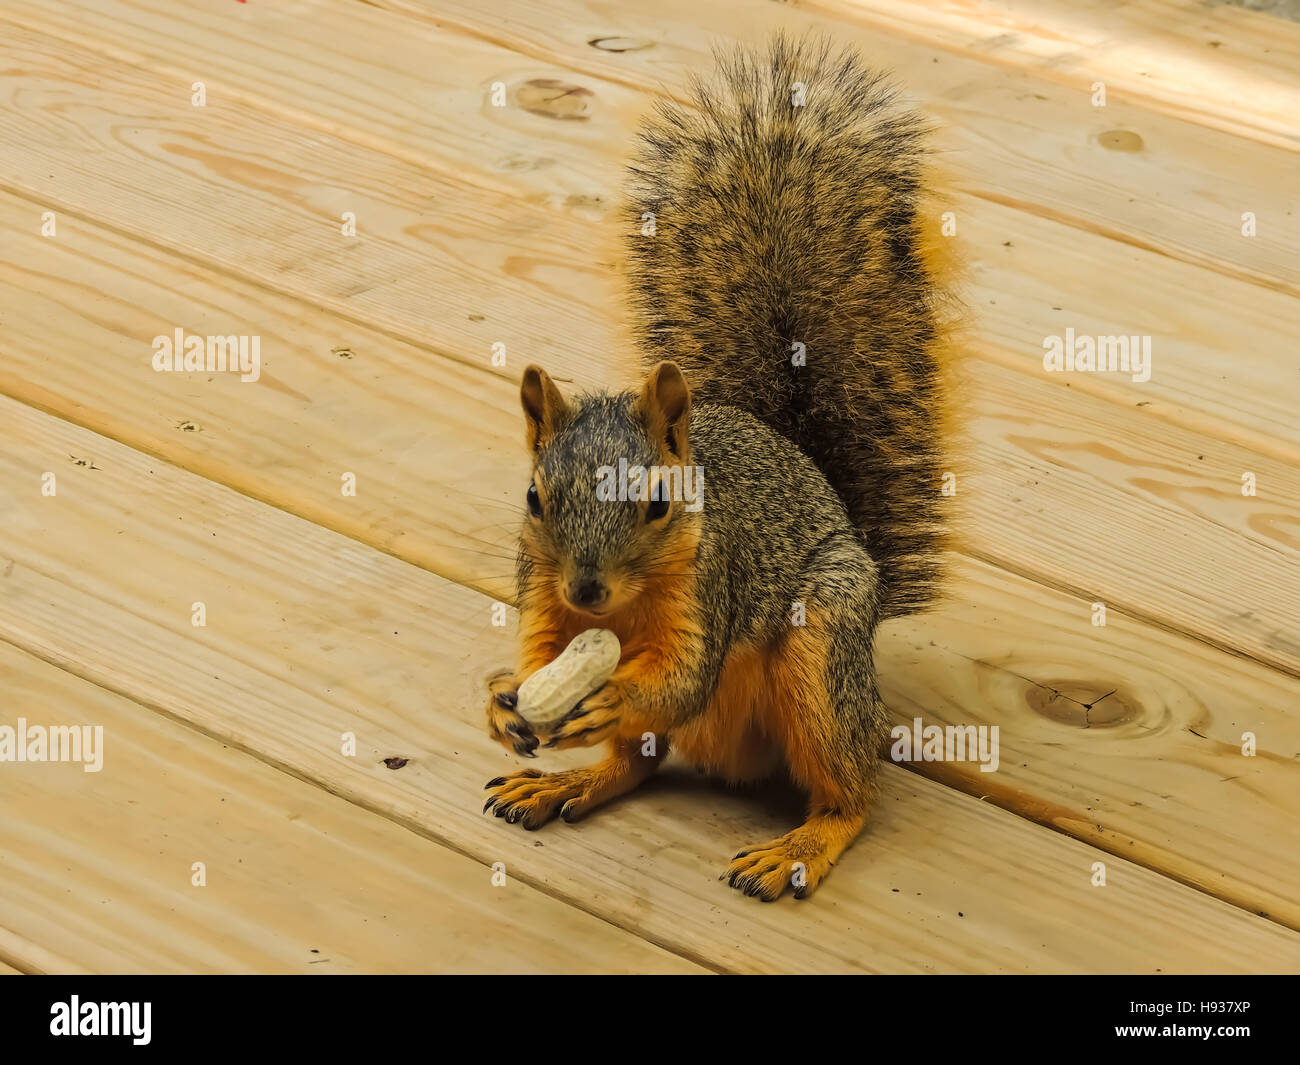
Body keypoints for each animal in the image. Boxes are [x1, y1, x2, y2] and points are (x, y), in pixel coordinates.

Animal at [483, 33, 956, 901]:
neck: (620, 613)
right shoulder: (542, 589)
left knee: (852, 790)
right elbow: (539, 654)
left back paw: (801, 844)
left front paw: (612, 691)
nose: (587, 590)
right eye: (535, 496)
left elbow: (682, 674)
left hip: (823, 645)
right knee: (635, 764)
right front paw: (502, 703)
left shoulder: (714, 583)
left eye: (658, 504)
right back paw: (570, 780)